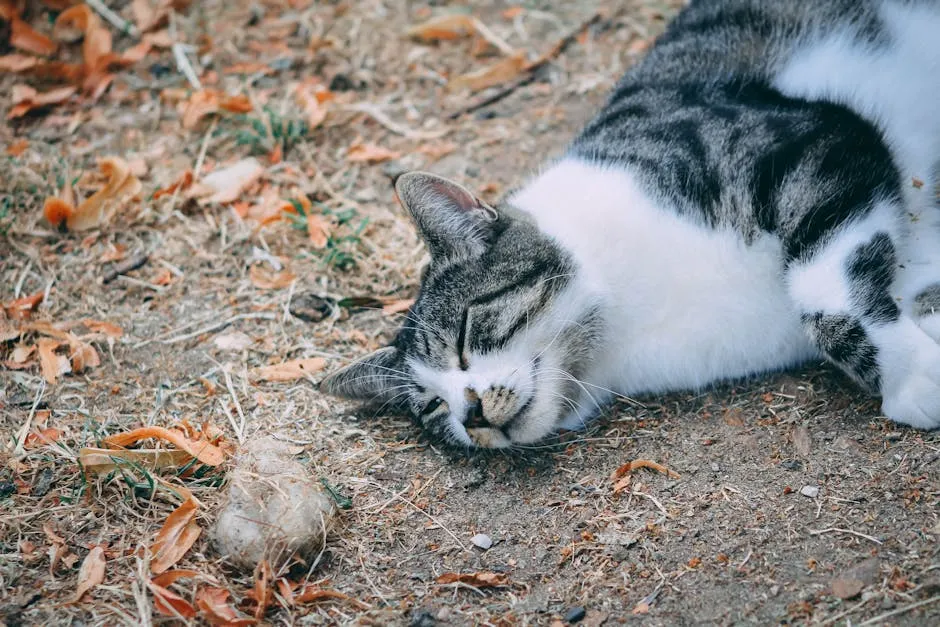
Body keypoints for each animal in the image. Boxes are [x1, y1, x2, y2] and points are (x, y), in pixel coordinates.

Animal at [322, 1, 940, 452]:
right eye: (432, 406)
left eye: (466, 335)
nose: (470, 414)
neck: (623, 314)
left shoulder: (811, 142)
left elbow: (826, 293)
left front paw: (912, 375)